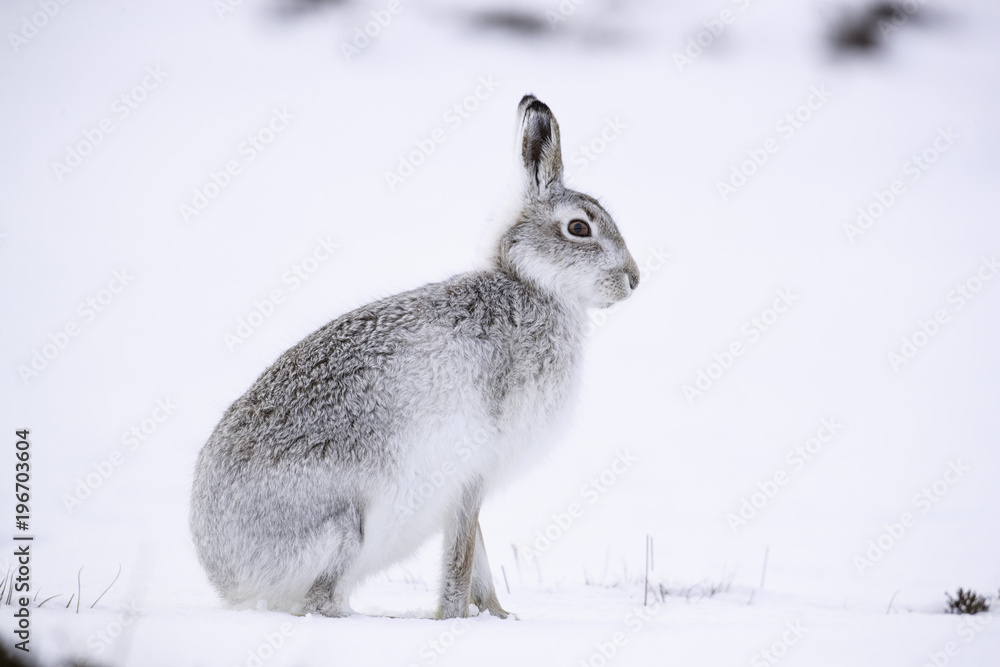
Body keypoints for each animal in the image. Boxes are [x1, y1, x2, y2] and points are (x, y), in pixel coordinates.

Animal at [189, 94, 640, 620]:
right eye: (578, 228)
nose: (634, 279)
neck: (534, 285)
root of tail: (230, 580)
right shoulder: (472, 471)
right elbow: (461, 556)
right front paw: (452, 618)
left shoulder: (469, 485)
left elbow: (477, 552)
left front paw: (498, 616)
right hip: (347, 526)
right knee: (323, 603)